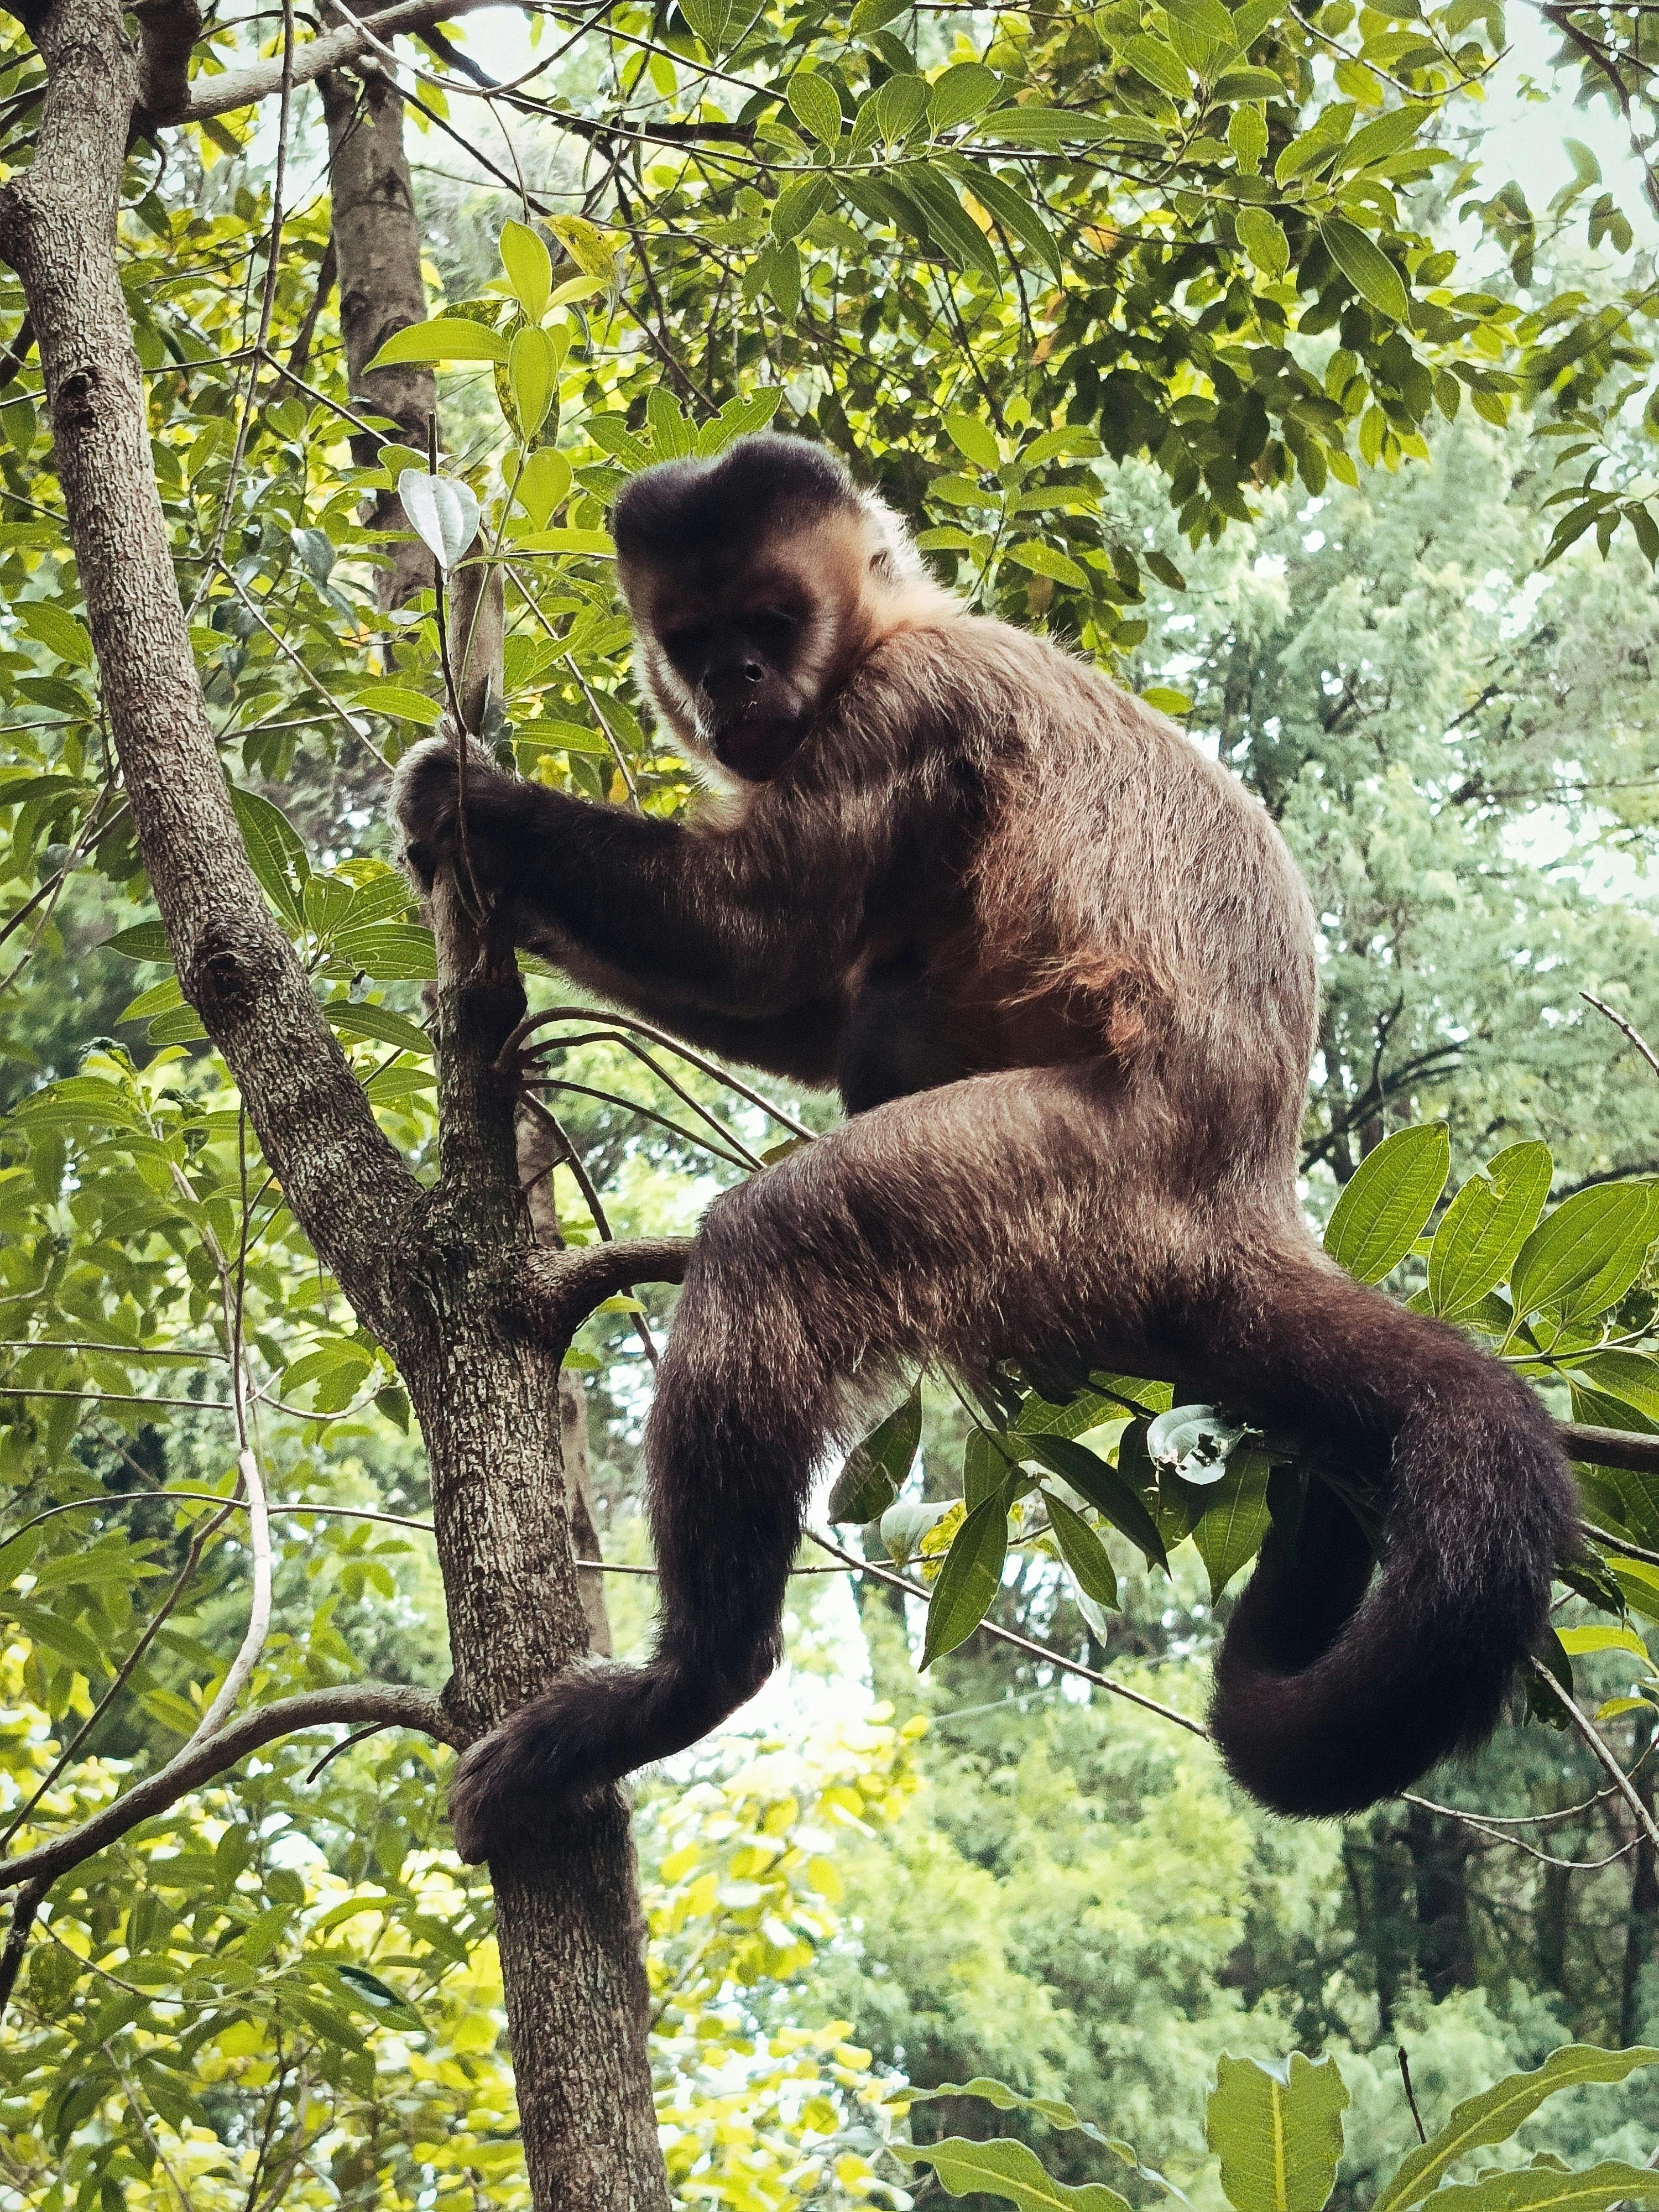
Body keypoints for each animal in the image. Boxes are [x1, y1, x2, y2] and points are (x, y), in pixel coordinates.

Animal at [392, 430, 1577, 1864]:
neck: (897, 629)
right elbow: (800, 1005)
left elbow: (749, 937)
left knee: (782, 1237)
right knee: (879, 1015)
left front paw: (469, 803)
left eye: (771, 622)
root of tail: (1244, 1185)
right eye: (695, 636)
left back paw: (690, 1680)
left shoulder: (904, 710)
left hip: (1079, 1174)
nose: (735, 683)